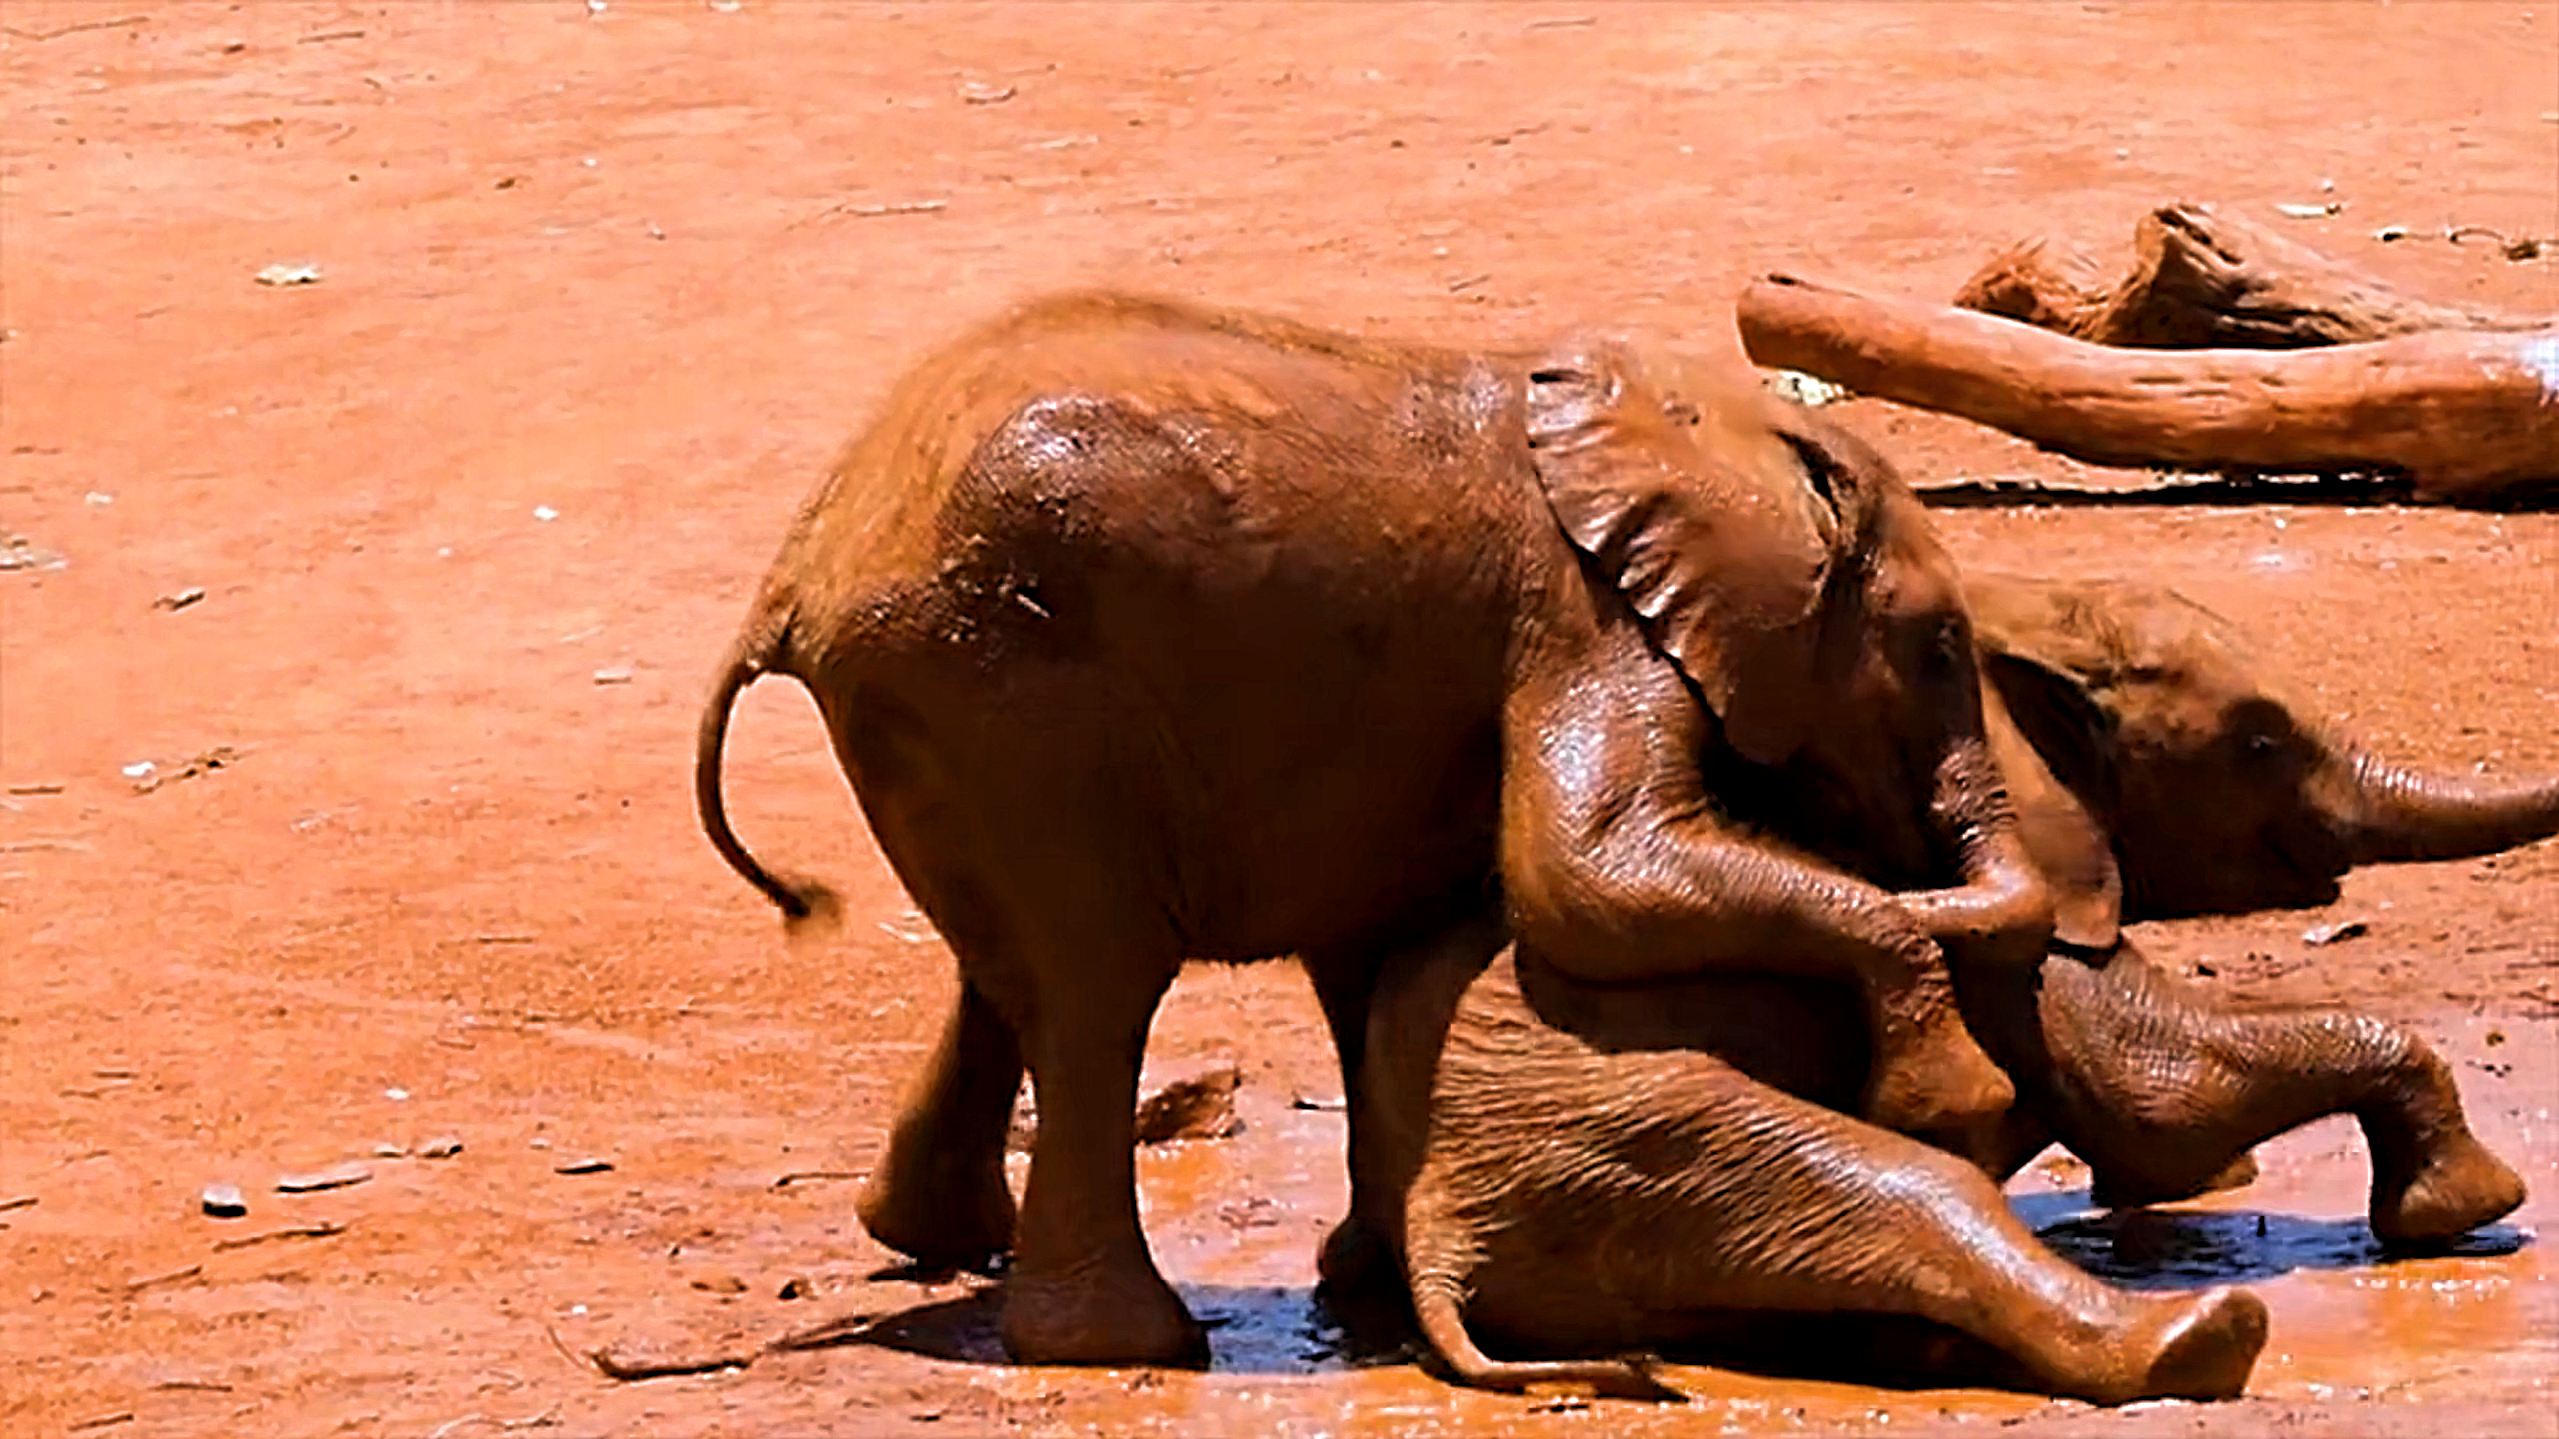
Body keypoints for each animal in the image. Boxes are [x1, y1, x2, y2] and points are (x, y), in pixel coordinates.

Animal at [694, 292, 2055, 1366]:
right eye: (1941, 647)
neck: (1730, 425)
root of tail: (798, 569)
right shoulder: (1583, 619)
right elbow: (1585, 875)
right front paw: (1951, 1099)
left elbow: (1383, 948)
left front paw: (1365, 1281)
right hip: (1011, 686)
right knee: (1095, 988)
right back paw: (1137, 1344)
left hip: (956, 704)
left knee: (1007, 970)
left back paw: (946, 1243)